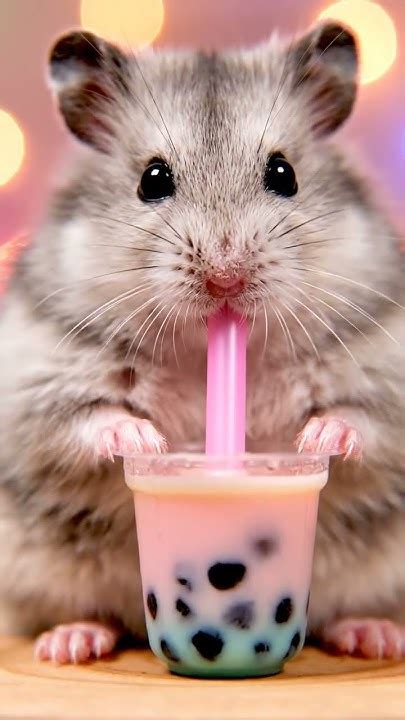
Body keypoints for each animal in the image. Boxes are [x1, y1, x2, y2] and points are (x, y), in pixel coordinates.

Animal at [0, 20, 404, 664]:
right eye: (152, 179)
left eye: (284, 174)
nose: (226, 279)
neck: (202, 353)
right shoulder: (42, 376)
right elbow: (89, 417)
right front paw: (146, 440)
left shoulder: (383, 360)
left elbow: (362, 418)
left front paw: (319, 437)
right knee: (84, 614)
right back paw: (71, 643)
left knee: (347, 613)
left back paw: (374, 636)